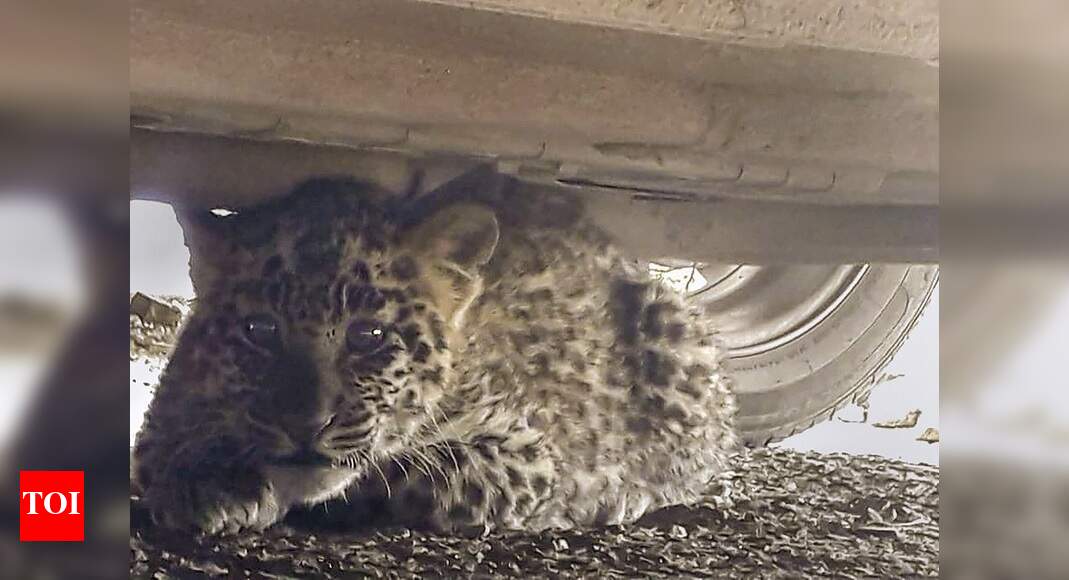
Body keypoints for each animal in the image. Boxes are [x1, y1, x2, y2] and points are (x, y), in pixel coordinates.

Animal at [132, 175, 737, 535]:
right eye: (260, 330)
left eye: (369, 336)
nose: (307, 426)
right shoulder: (164, 413)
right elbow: (164, 450)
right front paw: (214, 481)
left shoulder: (528, 454)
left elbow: (417, 473)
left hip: (677, 336)